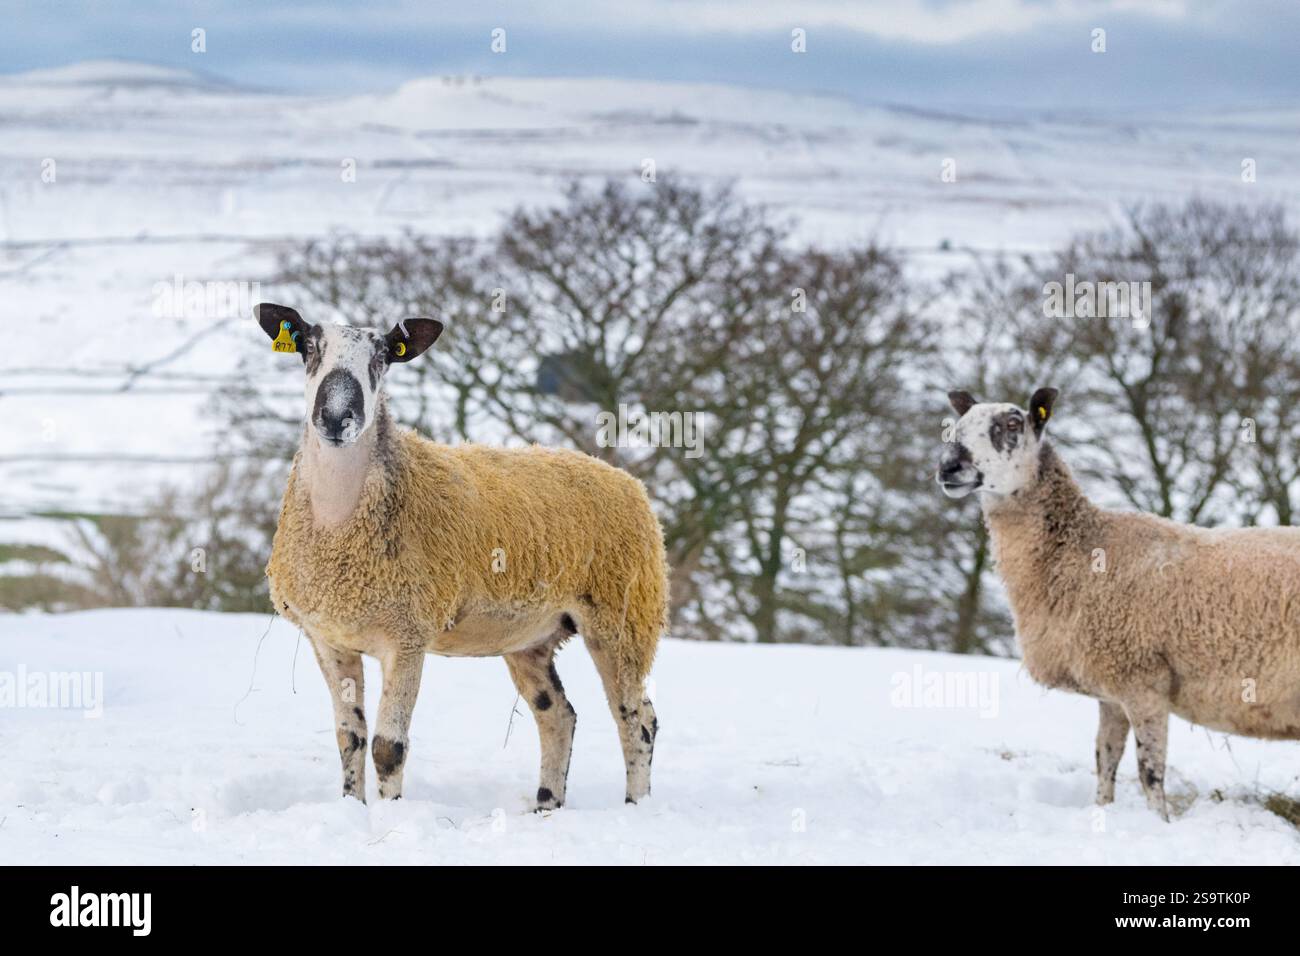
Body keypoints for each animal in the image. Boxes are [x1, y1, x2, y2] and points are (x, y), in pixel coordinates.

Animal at [253, 303, 668, 809]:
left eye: (382, 357)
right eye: (309, 348)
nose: (336, 417)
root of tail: (629, 482)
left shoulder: (407, 636)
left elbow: (388, 748)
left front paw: (389, 814)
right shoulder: (330, 640)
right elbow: (349, 738)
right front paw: (352, 809)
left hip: (623, 616)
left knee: (637, 719)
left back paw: (637, 806)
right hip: (532, 637)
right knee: (559, 716)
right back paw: (546, 805)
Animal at [937, 387, 1300, 820]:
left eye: (1012, 424)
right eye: (957, 426)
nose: (948, 466)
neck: (1082, 548)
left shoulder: (1144, 679)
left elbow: (1150, 772)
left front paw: (1160, 823)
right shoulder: (1110, 690)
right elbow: (1105, 759)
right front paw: (1102, 811)